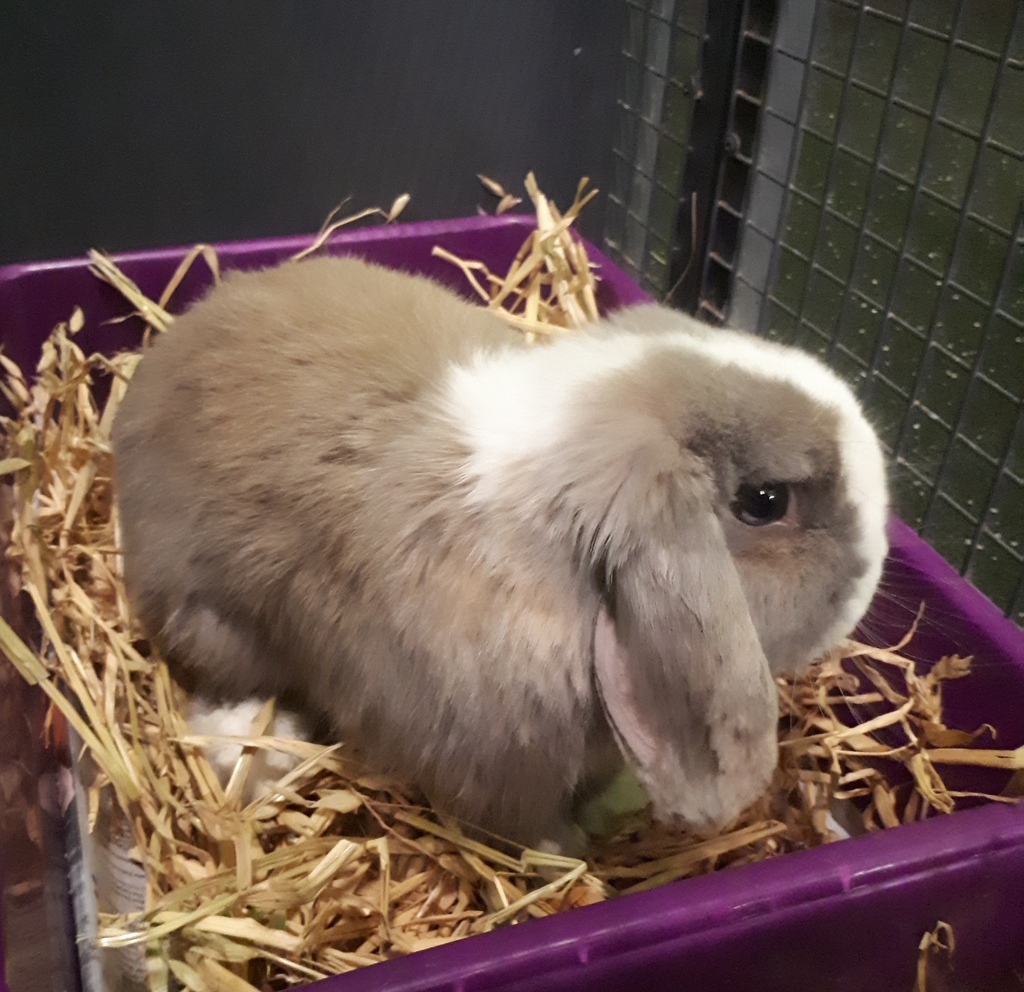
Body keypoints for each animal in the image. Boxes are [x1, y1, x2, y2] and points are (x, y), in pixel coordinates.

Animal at [111, 254, 889, 852]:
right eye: (765, 501)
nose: (878, 562)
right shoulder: (498, 776)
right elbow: (527, 826)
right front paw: (568, 852)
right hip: (209, 624)